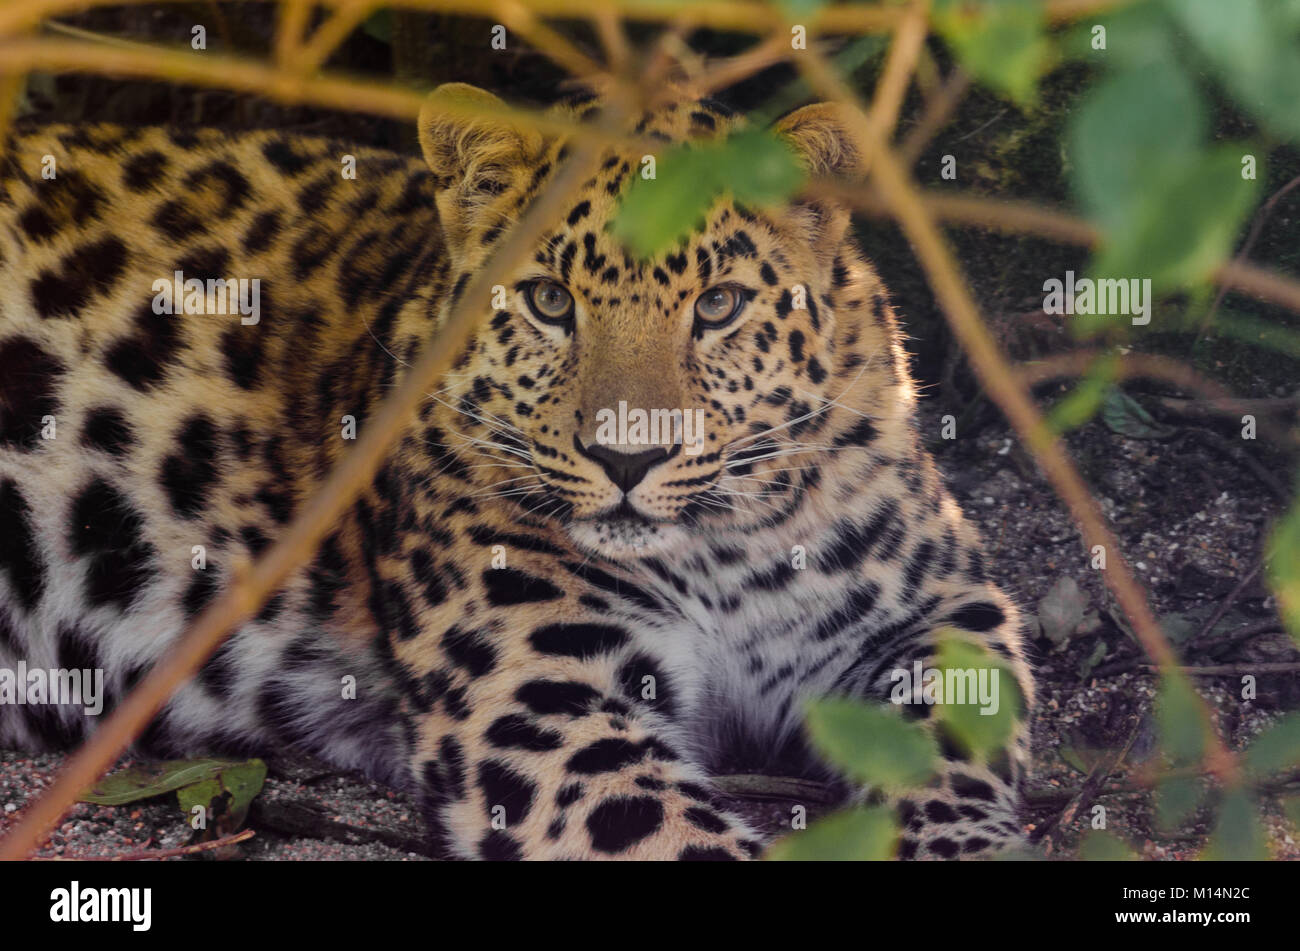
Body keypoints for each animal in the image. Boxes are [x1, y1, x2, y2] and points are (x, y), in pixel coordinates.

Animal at [0, 80, 1034, 860]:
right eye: (547, 302)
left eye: (719, 306)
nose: (628, 456)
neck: (713, 550)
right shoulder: (540, 698)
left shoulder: (937, 608)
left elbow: (958, 743)